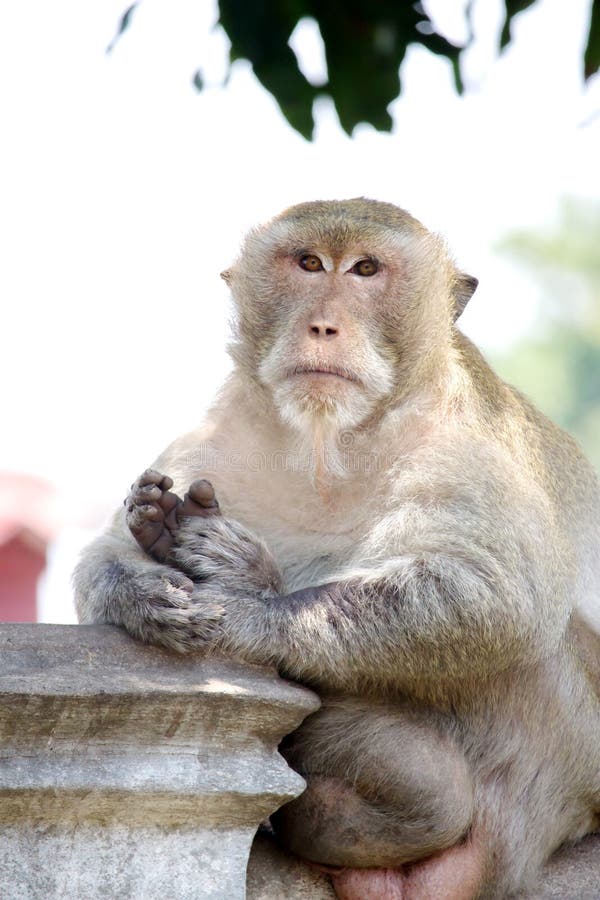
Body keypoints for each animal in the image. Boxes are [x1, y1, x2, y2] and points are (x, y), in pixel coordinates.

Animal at [73, 199, 600, 900]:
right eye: (309, 264)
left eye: (365, 269)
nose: (323, 325)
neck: (332, 443)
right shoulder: (224, 430)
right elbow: (99, 560)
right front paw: (147, 595)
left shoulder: (464, 436)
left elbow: (498, 597)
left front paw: (249, 610)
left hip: (558, 751)